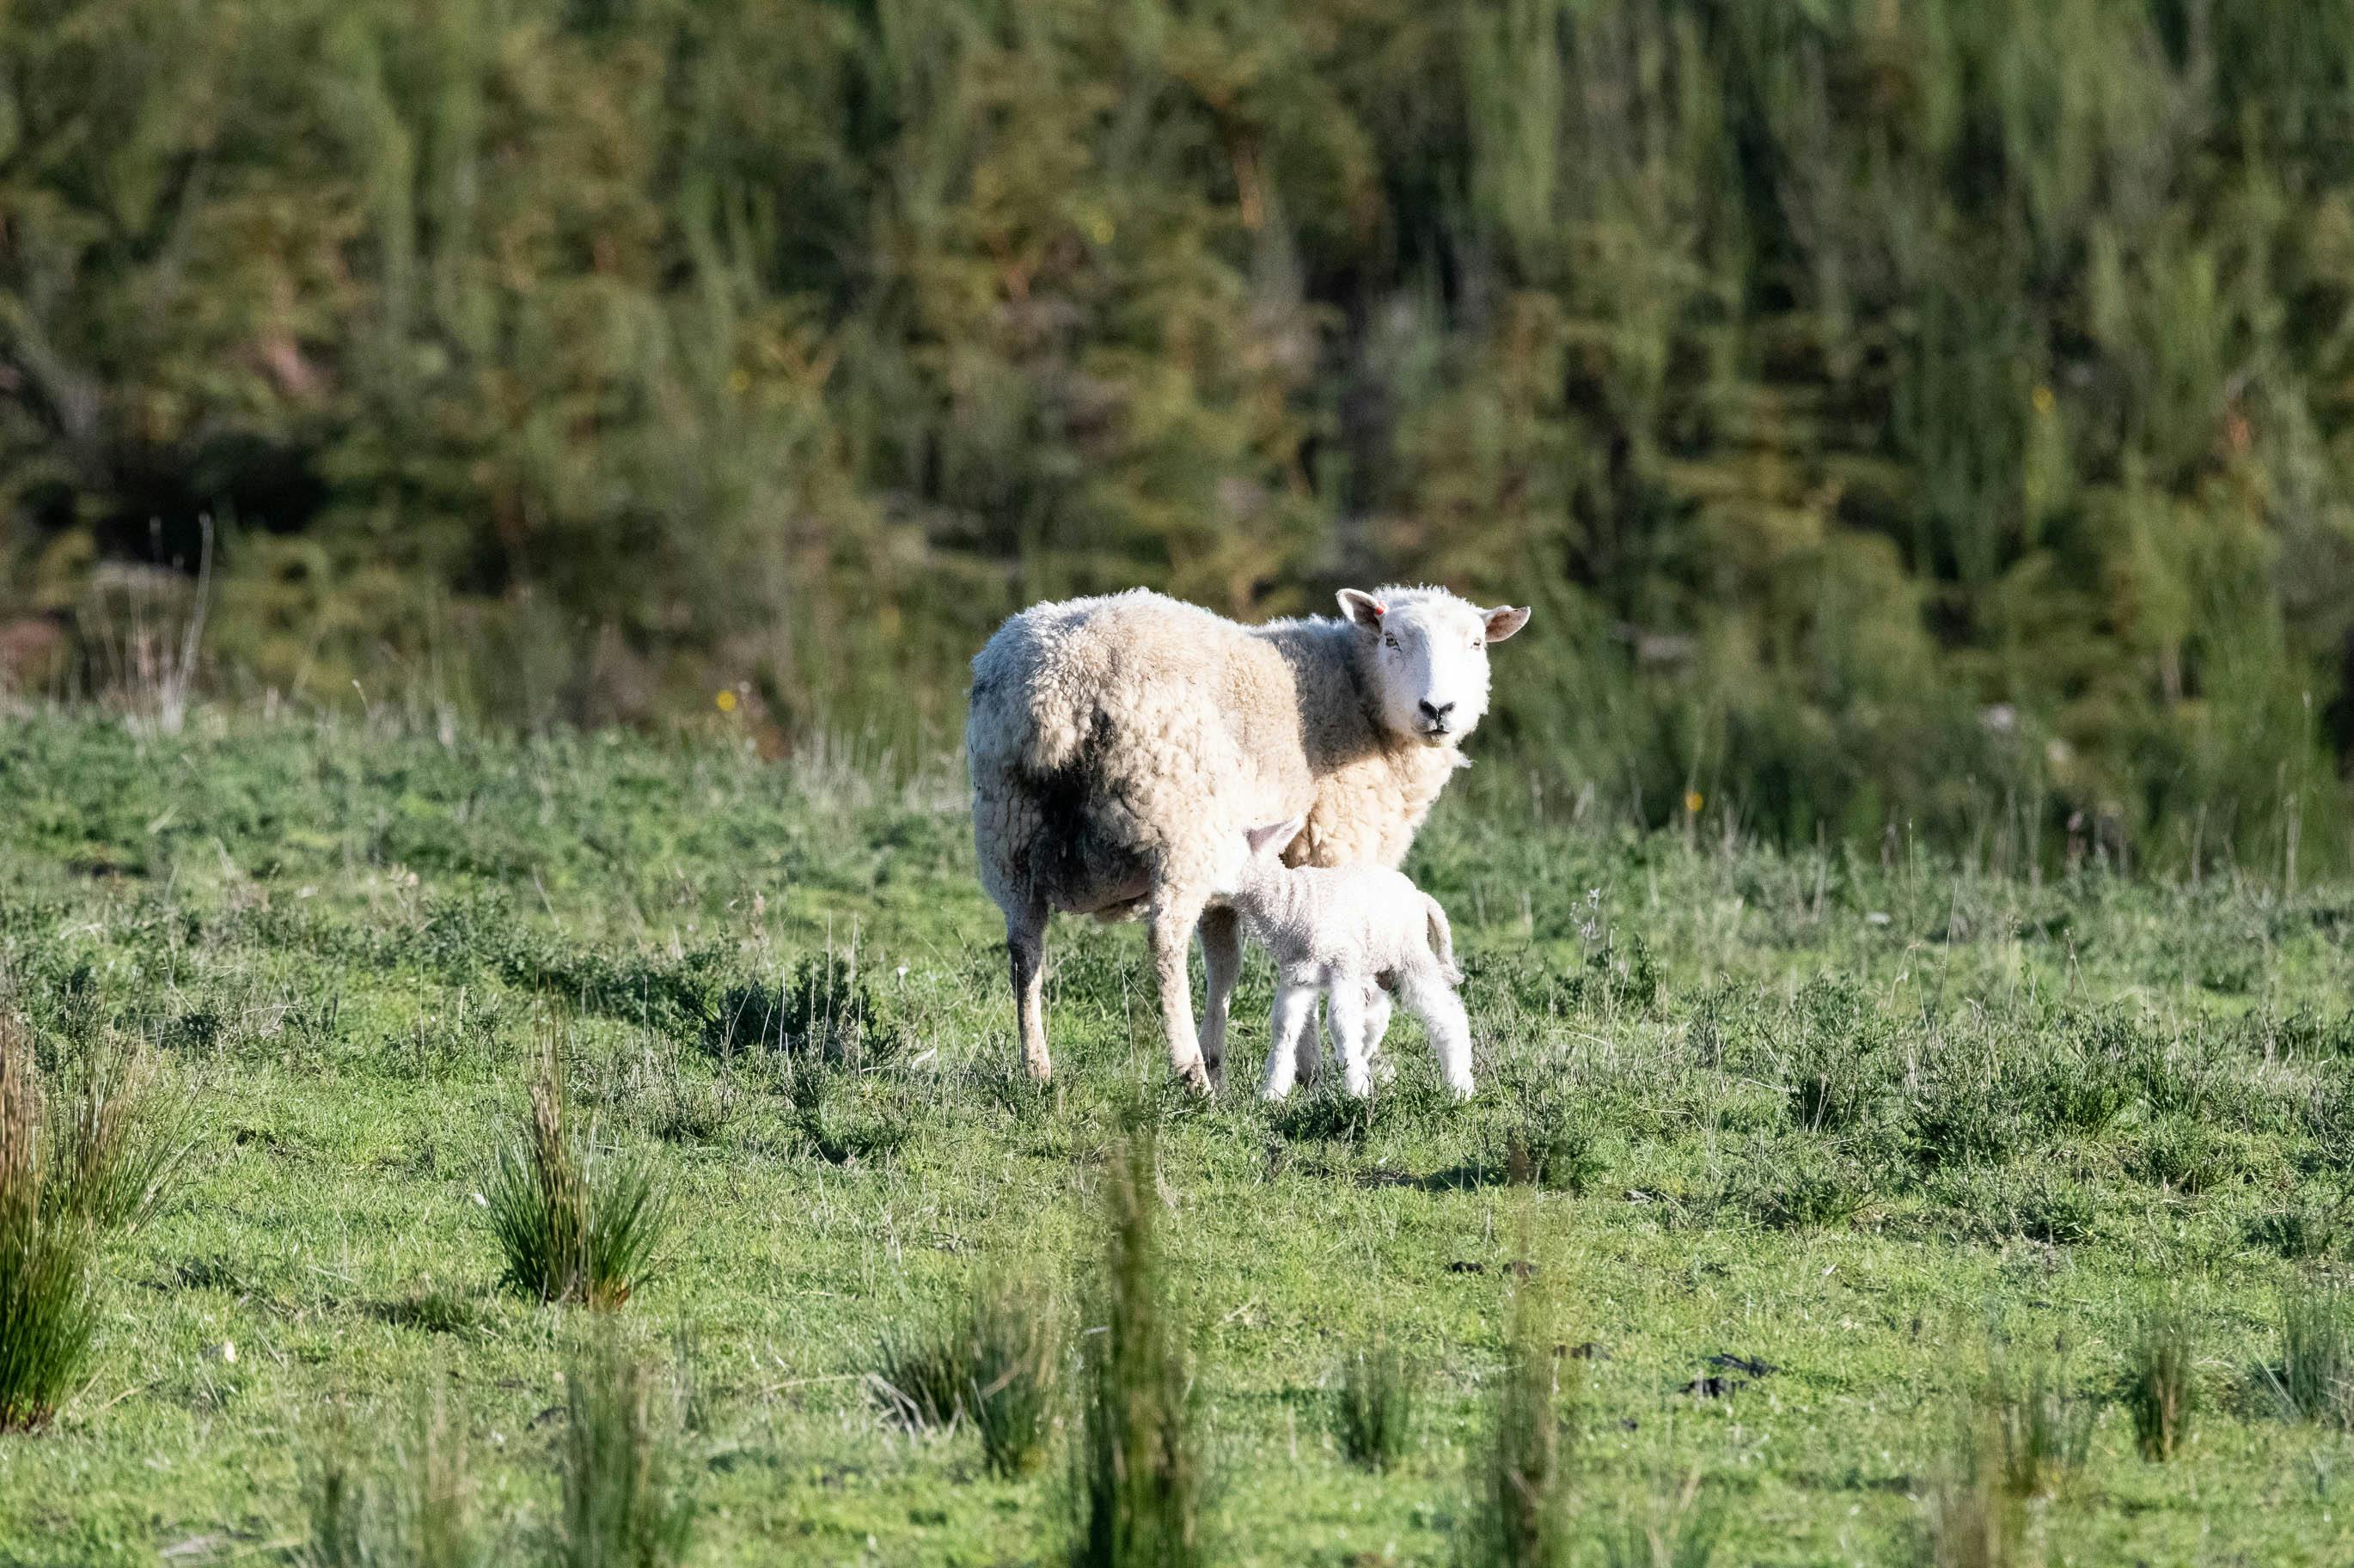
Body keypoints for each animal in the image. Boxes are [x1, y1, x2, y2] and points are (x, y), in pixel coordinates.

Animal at [1208, 815, 1473, 1099]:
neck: (1293, 905)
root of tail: (1421, 897)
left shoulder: (1343, 963)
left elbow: (1340, 1021)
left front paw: (1355, 1090)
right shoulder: (1296, 975)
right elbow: (1284, 1025)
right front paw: (1272, 1092)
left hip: (1412, 955)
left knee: (1448, 1014)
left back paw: (1460, 1086)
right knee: (1378, 1014)